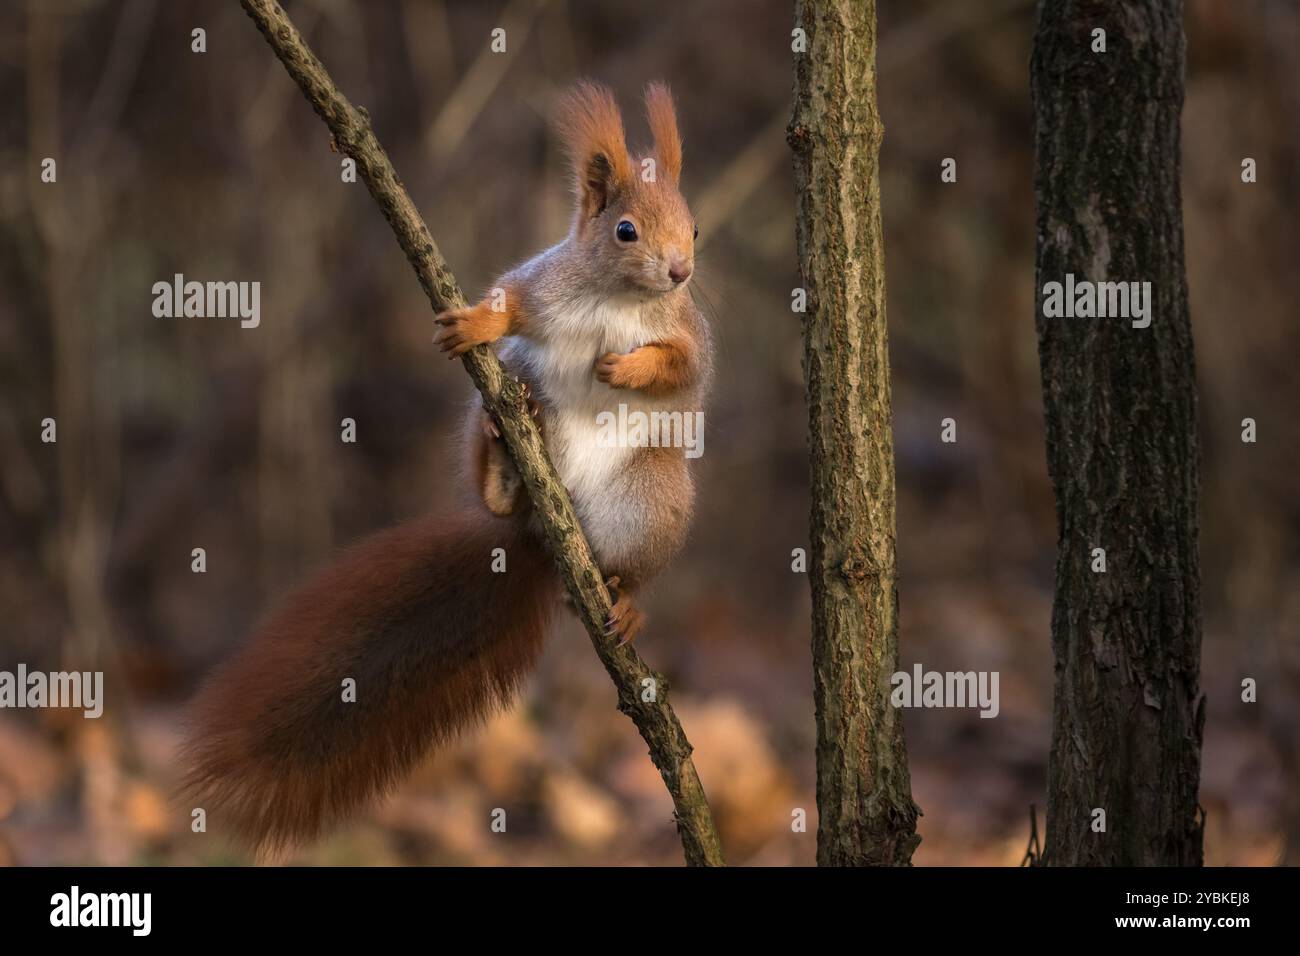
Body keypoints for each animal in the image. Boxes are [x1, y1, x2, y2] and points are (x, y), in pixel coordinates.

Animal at [180, 81, 711, 852]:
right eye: (625, 231)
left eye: (694, 229)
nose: (681, 271)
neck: (619, 299)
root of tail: (545, 541)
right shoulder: (543, 287)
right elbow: (512, 305)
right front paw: (479, 322)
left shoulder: (689, 336)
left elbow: (679, 368)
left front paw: (626, 366)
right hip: (496, 412)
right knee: (499, 463)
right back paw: (502, 463)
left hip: (653, 496)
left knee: (632, 567)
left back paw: (629, 604)